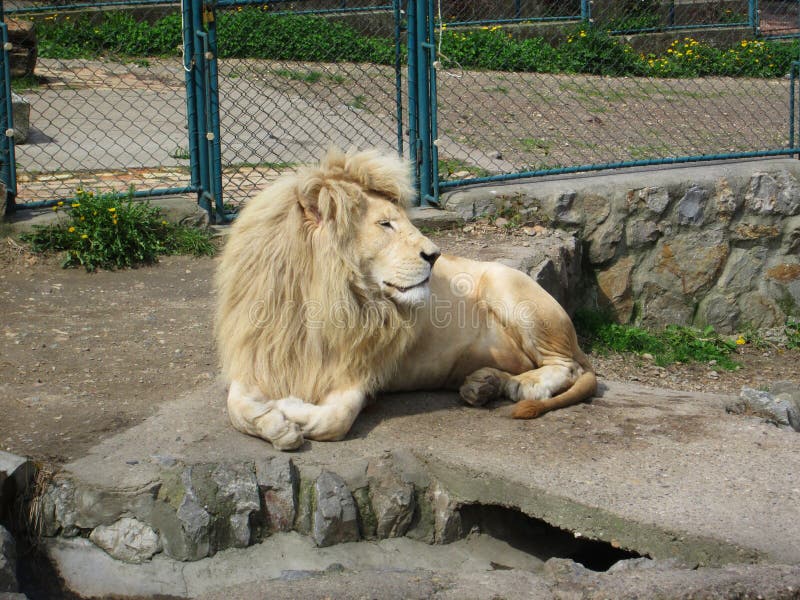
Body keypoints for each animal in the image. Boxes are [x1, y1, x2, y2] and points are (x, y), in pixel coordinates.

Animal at [215, 148, 596, 450]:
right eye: (385, 224)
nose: (435, 254)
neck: (317, 300)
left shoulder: (360, 370)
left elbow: (333, 420)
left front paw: (289, 410)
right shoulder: (260, 356)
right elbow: (235, 407)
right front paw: (273, 423)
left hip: (508, 288)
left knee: (567, 367)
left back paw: (519, 385)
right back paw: (484, 384)